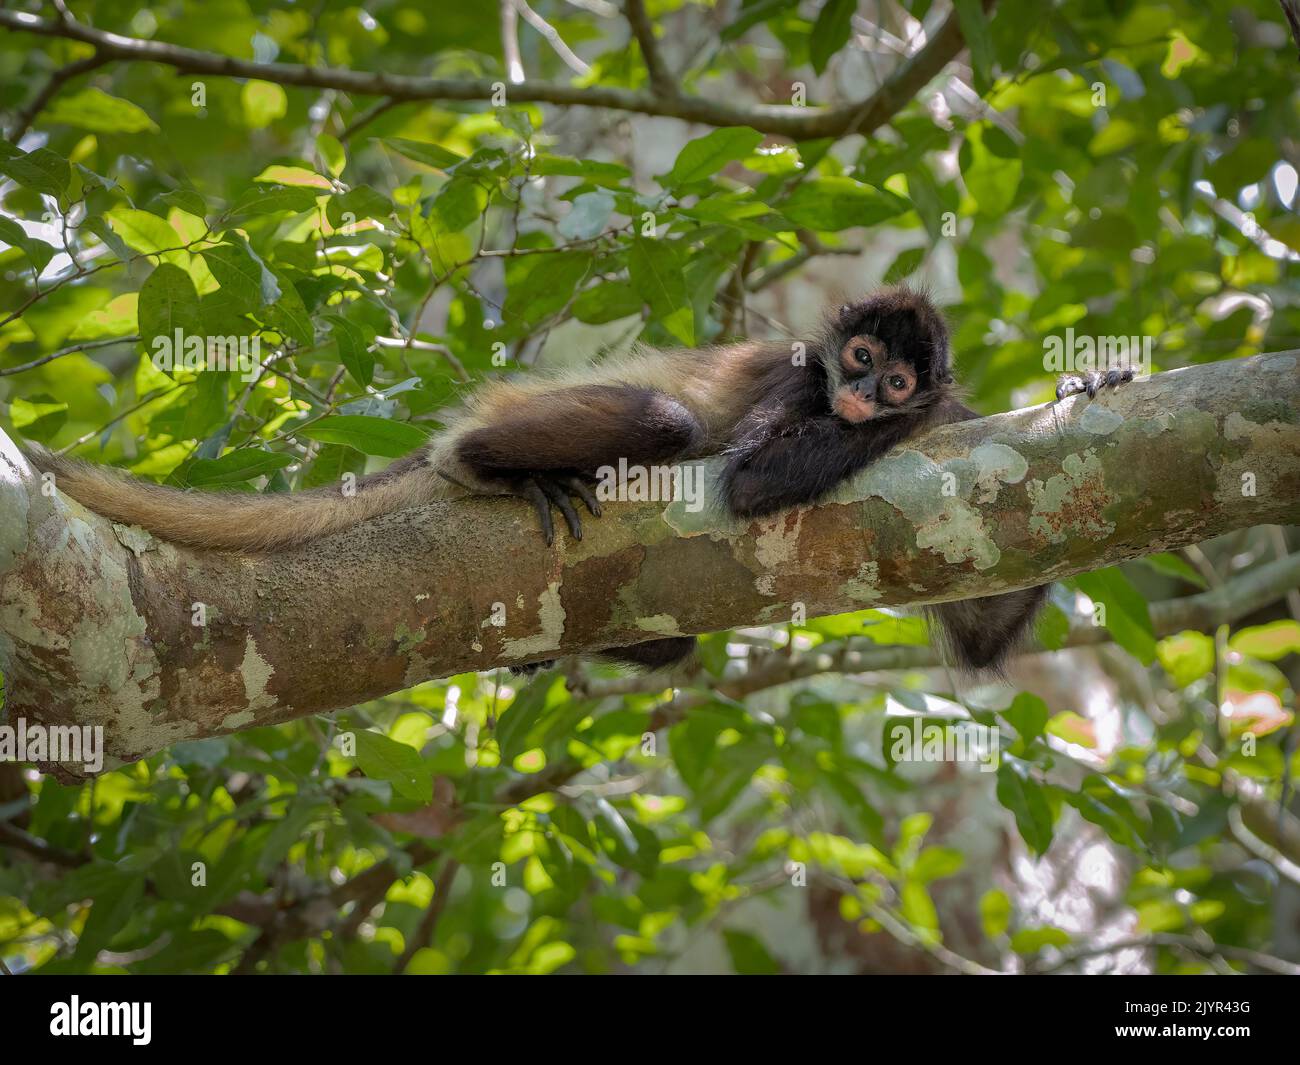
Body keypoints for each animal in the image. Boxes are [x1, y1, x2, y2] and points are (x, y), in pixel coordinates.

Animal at [21, 286, 1132, 675]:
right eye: (858, 360)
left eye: (892, 373)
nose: (867, 396)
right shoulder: (794, 376)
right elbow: (745, 480)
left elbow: (983, 640)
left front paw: (1085, 383)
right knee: (667, 420)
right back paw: (477, 465)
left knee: (675, 642)